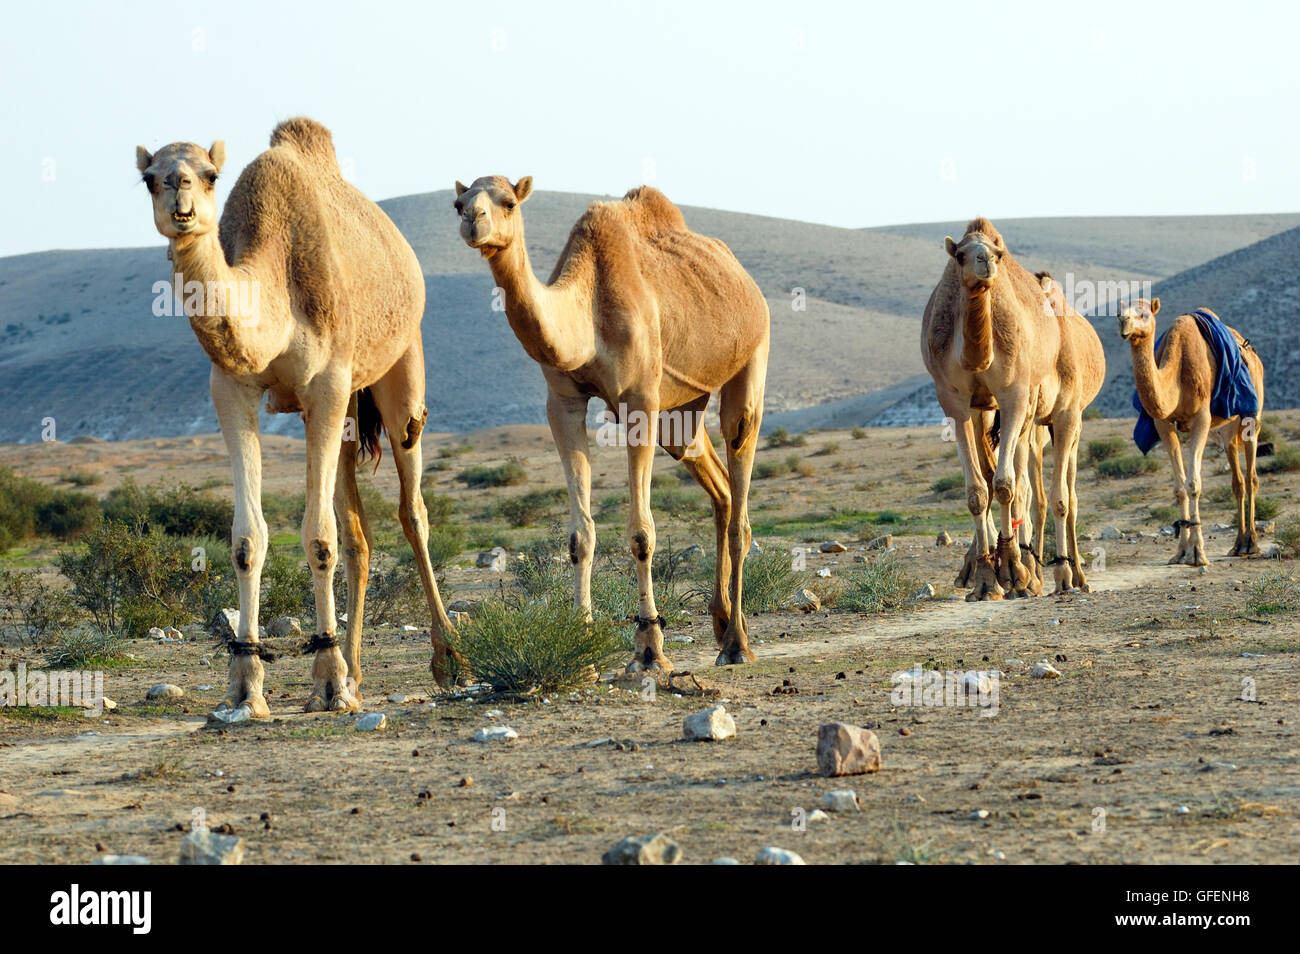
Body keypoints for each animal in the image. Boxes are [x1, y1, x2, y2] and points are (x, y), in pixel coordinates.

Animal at [136, 118, 461, 719]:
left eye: (209, 174)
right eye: (150, 178)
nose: (180, 202)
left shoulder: (326, 385)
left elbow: (318, 537)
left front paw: (328, 681)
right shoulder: (232, 388)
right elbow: (248, 539)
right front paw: (247, 686)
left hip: (399, 369)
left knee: (412, 509)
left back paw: (447, 660)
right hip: (350, 408)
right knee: (358, 533)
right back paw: (357, 672)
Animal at [452, 176, 770, 672]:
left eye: (507, 202)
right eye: (458, 203)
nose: (473, 221)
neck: (588, 313)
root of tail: (744, 279)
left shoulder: (639, 398)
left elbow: (641, 532)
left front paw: (649, 650)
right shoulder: (562, 401)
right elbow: (579, 534)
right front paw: (580, 648)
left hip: (751, 355)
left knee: (740, 492)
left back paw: (736, 643)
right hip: (680, 413)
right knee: (719, 489)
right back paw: (720, 625)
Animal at [923, 219, 1102, 600]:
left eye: (998, 253)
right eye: (960, 255)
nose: (985, 262)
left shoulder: (1019, 395)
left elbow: (1011, 486)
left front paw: (1016, 572)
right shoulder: (954, 400)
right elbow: (979, 490)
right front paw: (986, 577)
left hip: (1058, 417)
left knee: (1059, 493)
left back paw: (1070, 575)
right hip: (996, 414)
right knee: (1009, 482)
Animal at [1118, 298, 1265, 565]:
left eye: (1144, 314)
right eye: (1118, 313)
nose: (1124, 323)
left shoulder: (1201, 418)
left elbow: (1193, 483)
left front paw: (1197, 553)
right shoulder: (1163, 423)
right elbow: (1179, 487)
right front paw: (1180, 552)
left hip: (1252, 417)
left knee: (1252, 478)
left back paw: (1251, 545)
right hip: (1226, 430)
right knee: (1237, 480)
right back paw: (1238, 545)